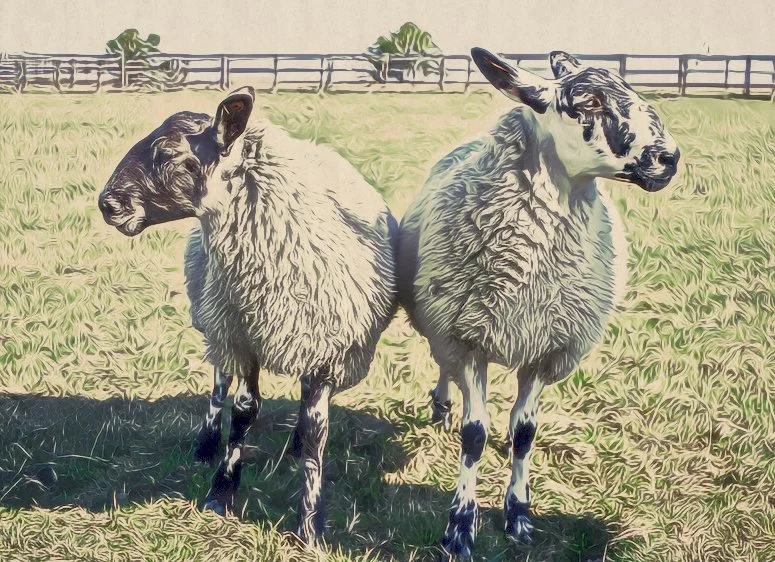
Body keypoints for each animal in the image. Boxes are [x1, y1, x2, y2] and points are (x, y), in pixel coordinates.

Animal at [97, 86, 398, 547]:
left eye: (167, 152)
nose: (106, 204)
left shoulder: (326, 352)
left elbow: (317, 431)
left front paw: (310, 525)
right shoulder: (241, 337)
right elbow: (242, 409)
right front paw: (221, 492)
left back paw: (293, 445)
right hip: (217, 323)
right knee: (220, 384)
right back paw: (206, 444)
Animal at [397, 48, 681, 558]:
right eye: (589, 100)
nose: (669, 158)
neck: (530, 274)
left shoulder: (549, 352)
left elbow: (524, 434)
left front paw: (519, 515)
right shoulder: (468, 341)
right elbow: (475, 434)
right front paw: (460, 527)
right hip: (443, 321)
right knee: (444, 369)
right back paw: (442, 407)